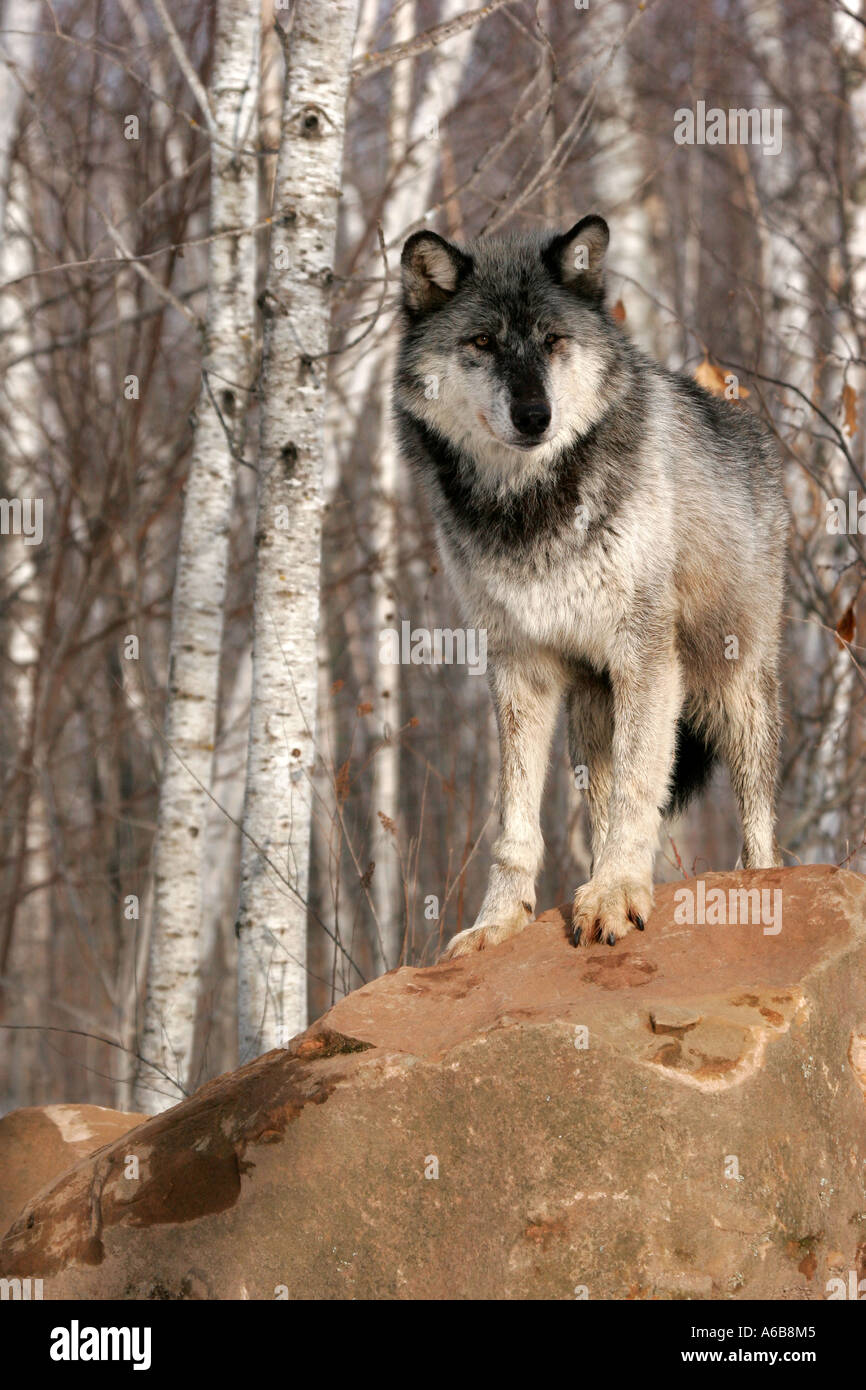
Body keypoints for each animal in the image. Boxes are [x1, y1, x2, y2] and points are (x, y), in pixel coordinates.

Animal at [393, 215, 786, 958]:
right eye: (483, 343)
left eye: (553, 340)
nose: (534, 415)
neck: (529, 508)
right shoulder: (519, 667)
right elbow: (515, 821)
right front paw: (498, 922)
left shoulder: (646, 656)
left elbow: (639, 792)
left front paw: (615, 897)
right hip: (591, 712)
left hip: (731, 682)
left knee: (758, 807)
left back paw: (761, 882)